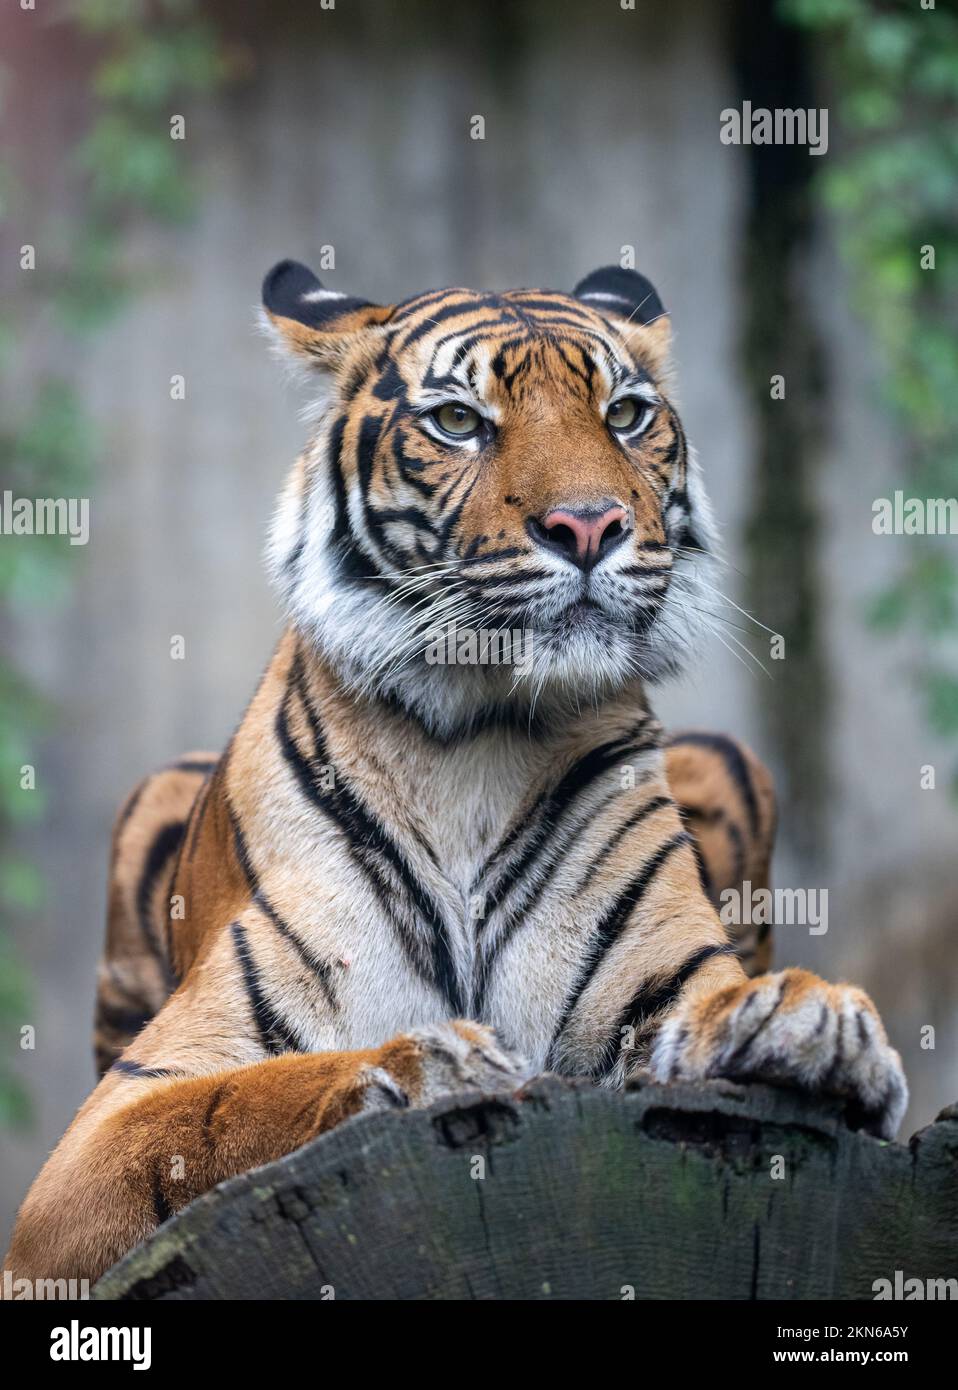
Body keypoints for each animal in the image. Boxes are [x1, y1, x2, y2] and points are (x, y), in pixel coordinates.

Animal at [5, 260, 907, 1288]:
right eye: (458, 421)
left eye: (626, 413)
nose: (590, 524)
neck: (476, 739)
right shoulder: (103, 1133)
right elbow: (239, 1102)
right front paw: (430, 1067)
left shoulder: (663, 979)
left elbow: (712, 1009)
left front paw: (808, 1021)